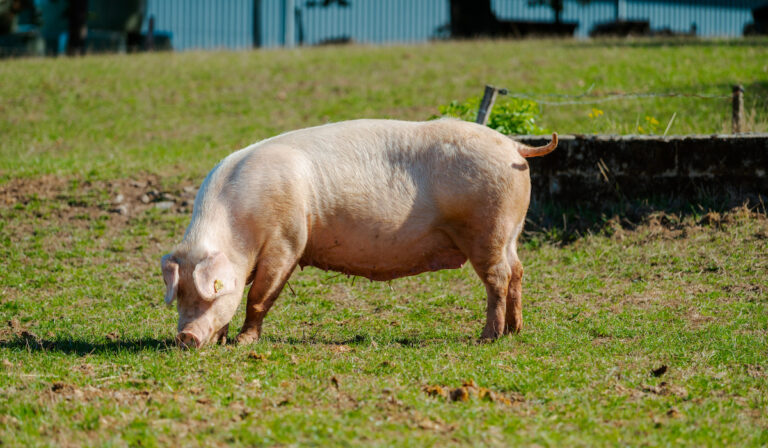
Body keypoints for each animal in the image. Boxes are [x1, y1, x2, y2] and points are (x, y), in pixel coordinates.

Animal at [161, 119, 557, 348]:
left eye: (211, 289)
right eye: (179, 294)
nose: (184, 337)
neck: (239, 230)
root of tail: (513, 145)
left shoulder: (286, 241)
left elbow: (260, 297)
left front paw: (243, 343)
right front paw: (225, 339)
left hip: (486, 228)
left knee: (498, 278)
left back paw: (487, 337)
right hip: (510, 231)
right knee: (518, 271)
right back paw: (515, 332)